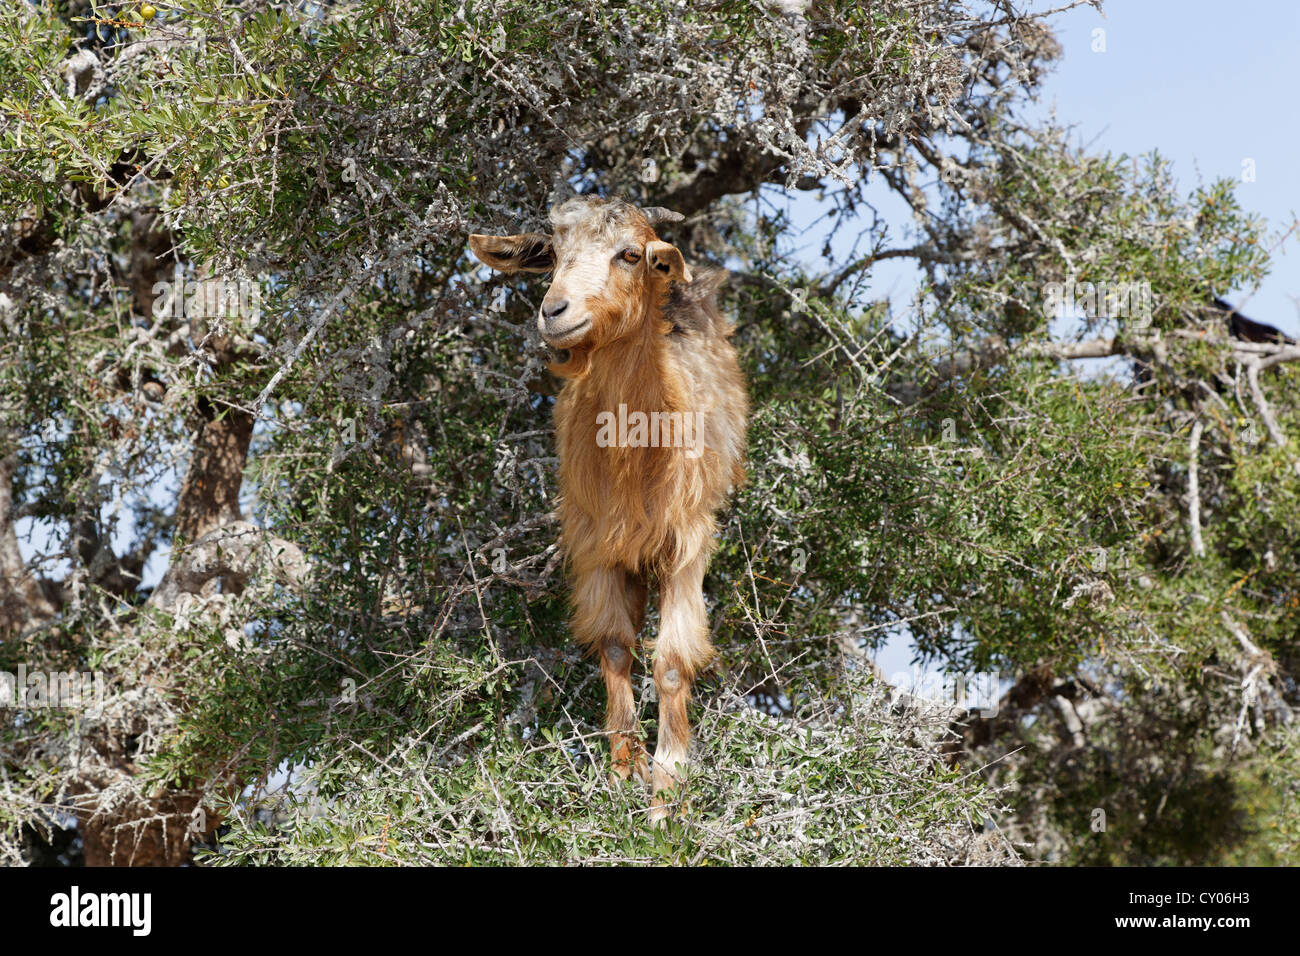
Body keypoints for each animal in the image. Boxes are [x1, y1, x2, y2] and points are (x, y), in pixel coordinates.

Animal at [469, 197, 749, 822]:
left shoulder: (687, 540)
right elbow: (617, 647)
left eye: (629, 254)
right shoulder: (596, 541)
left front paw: (669, 790)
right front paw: (625, 770)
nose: (555, 311)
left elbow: (670, 660)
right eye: (553, 254)